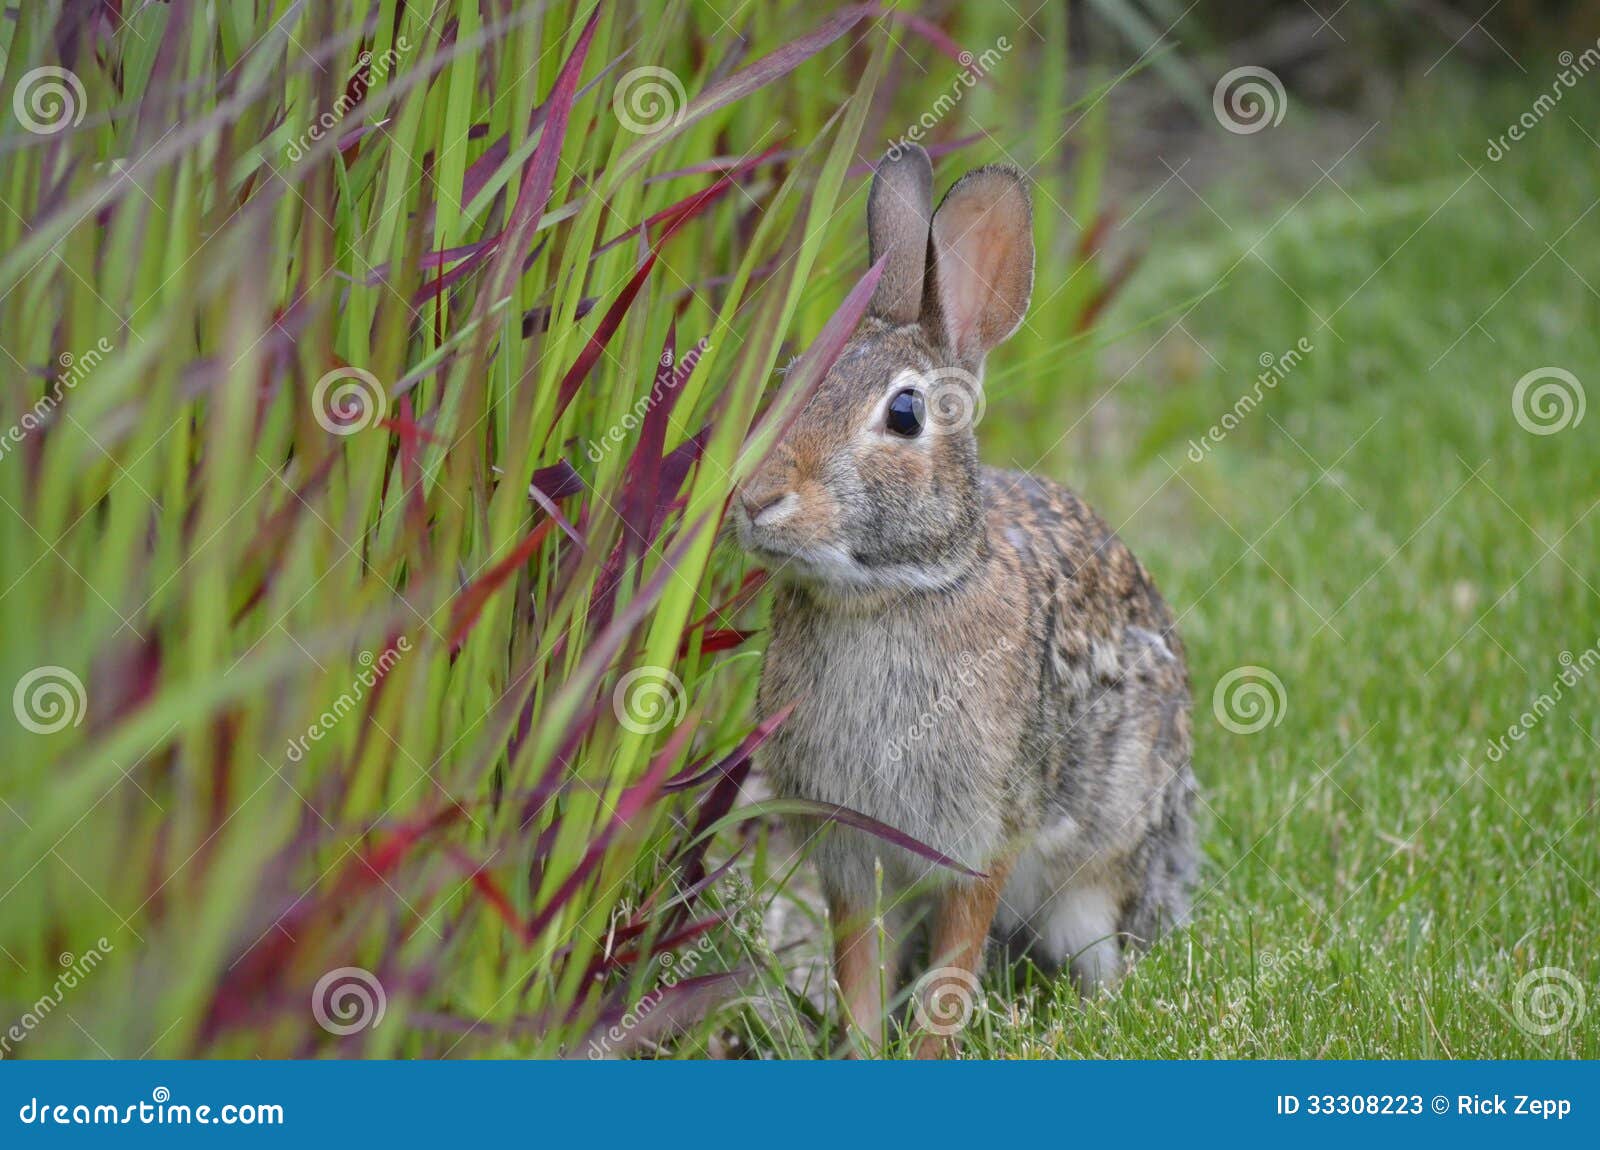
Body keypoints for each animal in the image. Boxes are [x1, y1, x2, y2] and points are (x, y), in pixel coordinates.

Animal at [734, 143, 1196, 1057]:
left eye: (906, 413)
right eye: (788, 378)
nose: (756, 496)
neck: (890, 594)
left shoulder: (982, 837)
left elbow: (953, 968)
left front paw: (928, 1054)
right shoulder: (852, 851)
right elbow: (859, 967)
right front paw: (859, 1051)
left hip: (1098, 874)